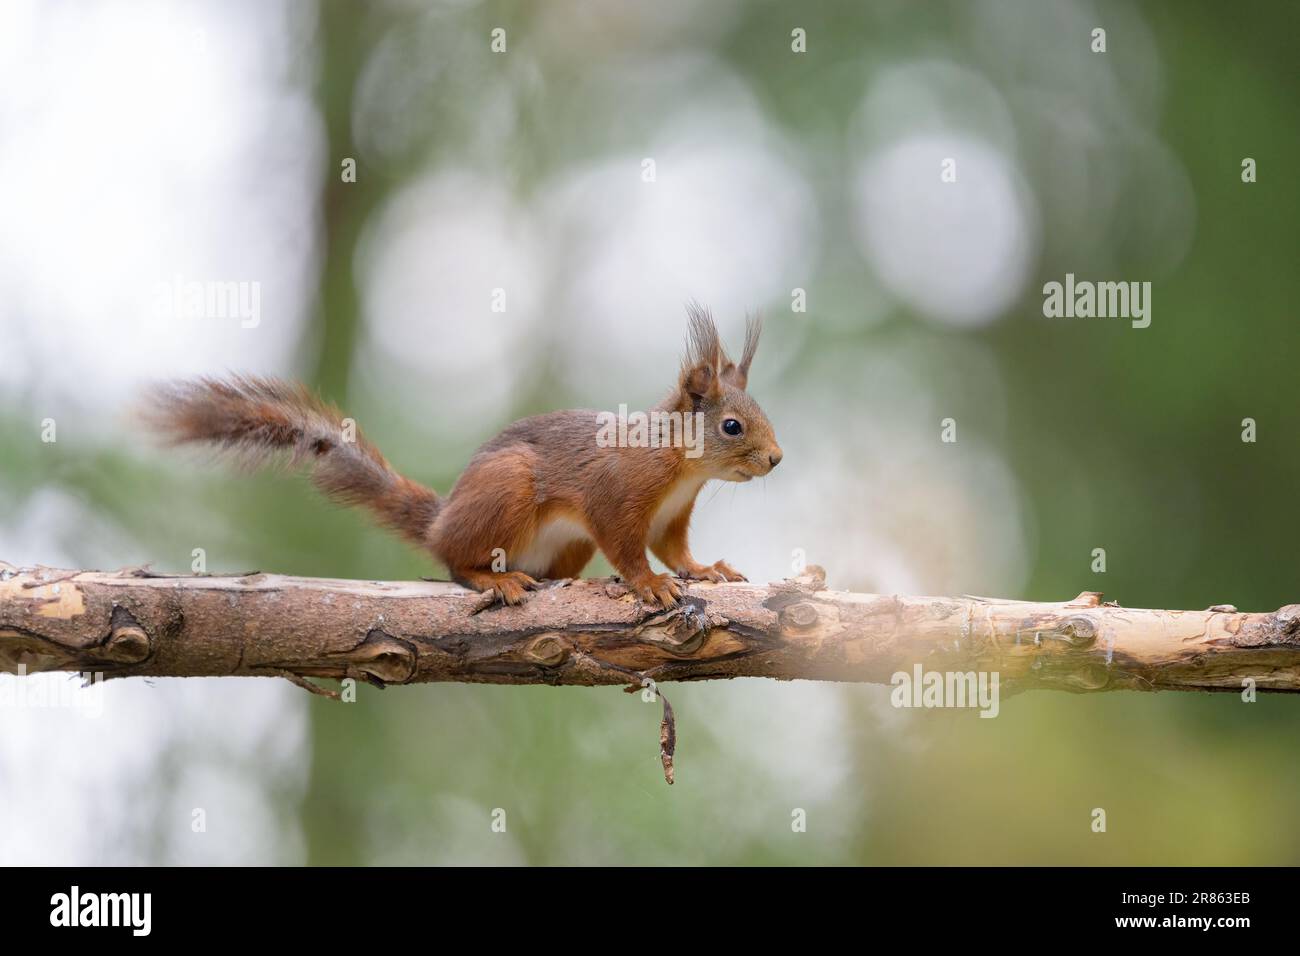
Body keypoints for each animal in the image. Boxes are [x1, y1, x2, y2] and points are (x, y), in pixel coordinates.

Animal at [141, 304, 782, 607]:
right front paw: (648, 584)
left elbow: (674, 549)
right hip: (509, 490)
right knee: (454, 562)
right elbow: (627, 546)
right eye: (732, 426)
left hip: (564, 543)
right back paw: (494, 579)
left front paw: (705, 570)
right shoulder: (617, 491)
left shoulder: (673, 513)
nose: (776, 459)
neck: (682, 467)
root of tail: (442, 519)